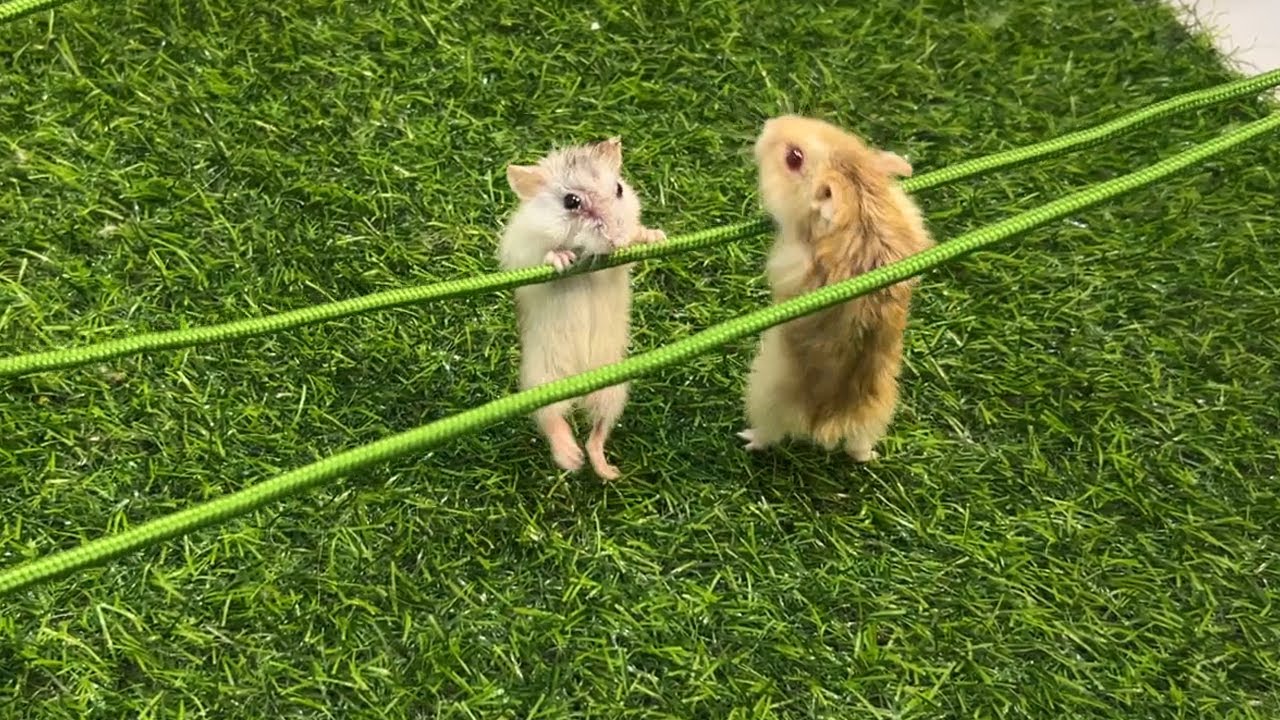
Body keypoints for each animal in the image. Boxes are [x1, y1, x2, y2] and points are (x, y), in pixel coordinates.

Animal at [497, 136, 666, 480]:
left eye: (619, 188)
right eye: (571, 201)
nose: (617, 239)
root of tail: (580, 377)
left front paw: (654, 236)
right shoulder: (522, 253)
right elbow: (545, 255)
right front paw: (561, 258)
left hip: (614, 387)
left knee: (598, 430)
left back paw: (605, 470)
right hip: (542, 378)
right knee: (551, 420)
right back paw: (570, 458)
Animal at [737, 115, 934, 462]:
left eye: (794, 158)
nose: (769, 123)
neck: (860, 196)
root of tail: (826, 423)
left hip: (763, 393)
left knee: (768, 435)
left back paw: (746, 438)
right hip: (879, 411)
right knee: (859, 446)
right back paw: (870, 456)